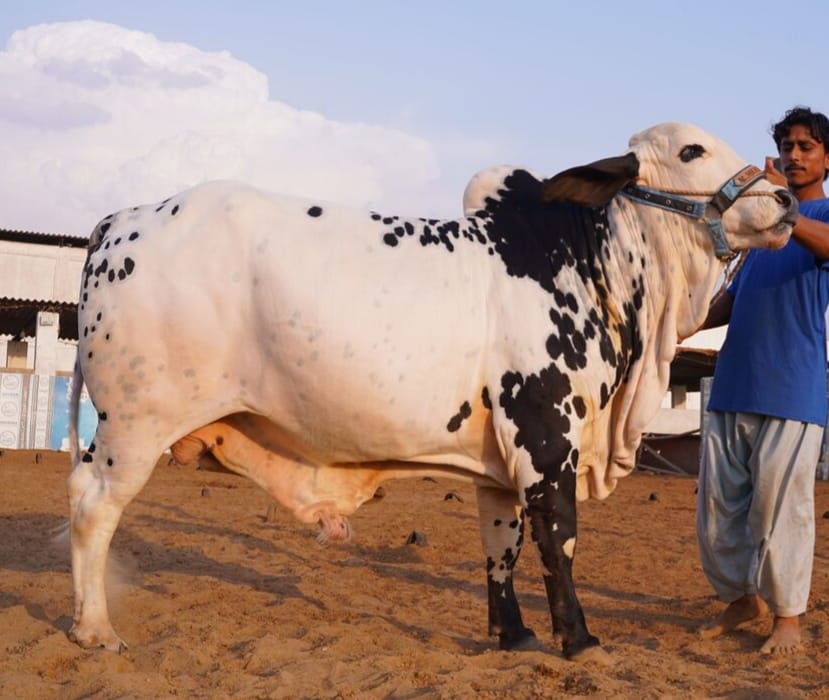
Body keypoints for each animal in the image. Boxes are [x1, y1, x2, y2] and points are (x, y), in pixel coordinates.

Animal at [66, 122, 796, 660]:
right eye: (691, 150)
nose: (787, 199)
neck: (586, 266)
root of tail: (125, 217)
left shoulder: (500, 460)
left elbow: (501, 544)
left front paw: (514, 635)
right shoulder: (546, 436)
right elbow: (558, 539)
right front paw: (579, 640)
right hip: (133, 425)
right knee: (93, 507)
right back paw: (95, 628)